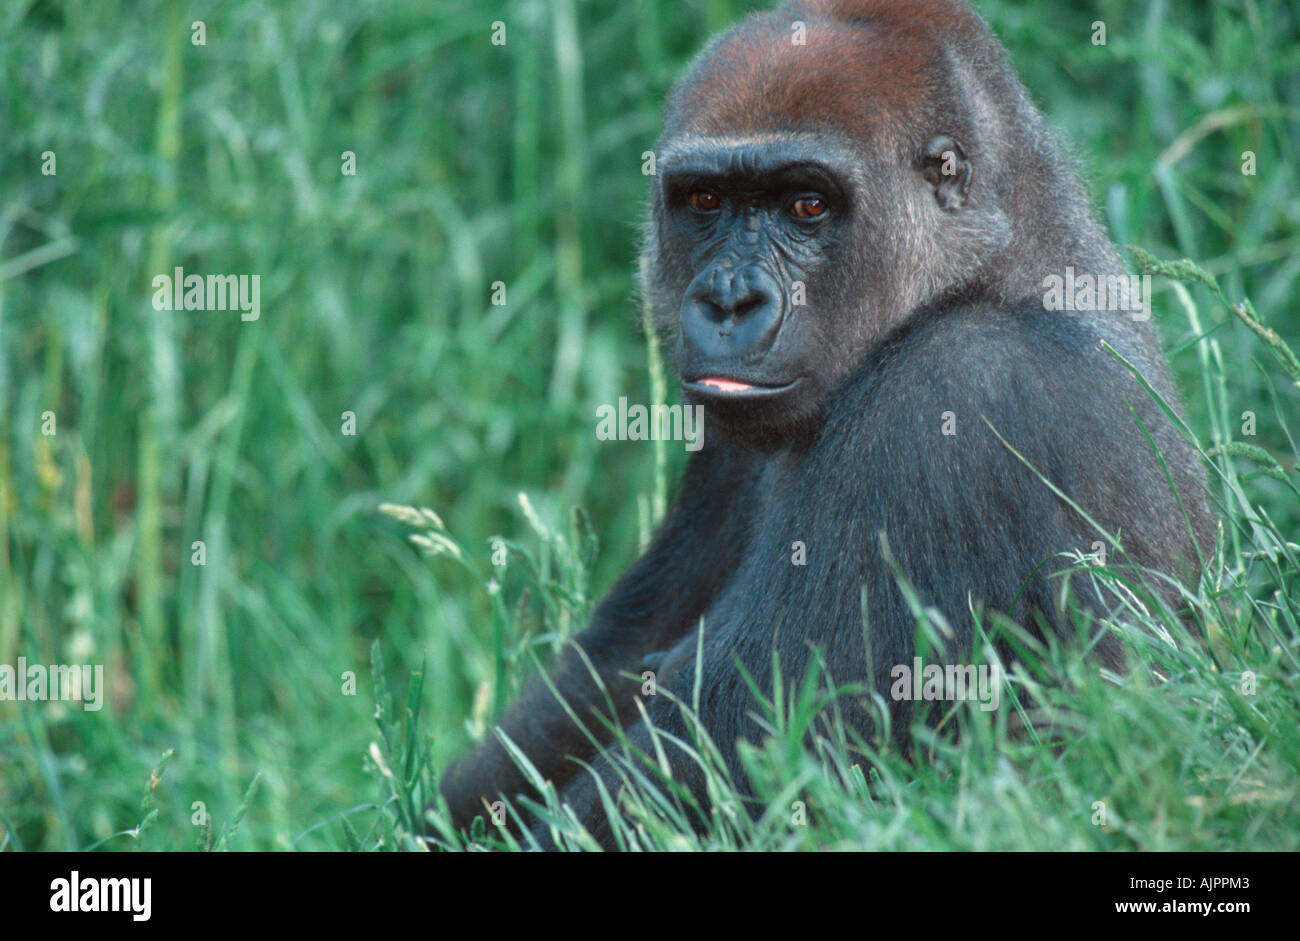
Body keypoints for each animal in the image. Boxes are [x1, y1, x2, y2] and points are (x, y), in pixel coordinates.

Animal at [437, 0, 1215, 848]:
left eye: (806, 205)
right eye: (705, 202)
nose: (729, 300)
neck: (997, 261)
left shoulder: (955, 393)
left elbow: (736, 757)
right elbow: (599, 675)